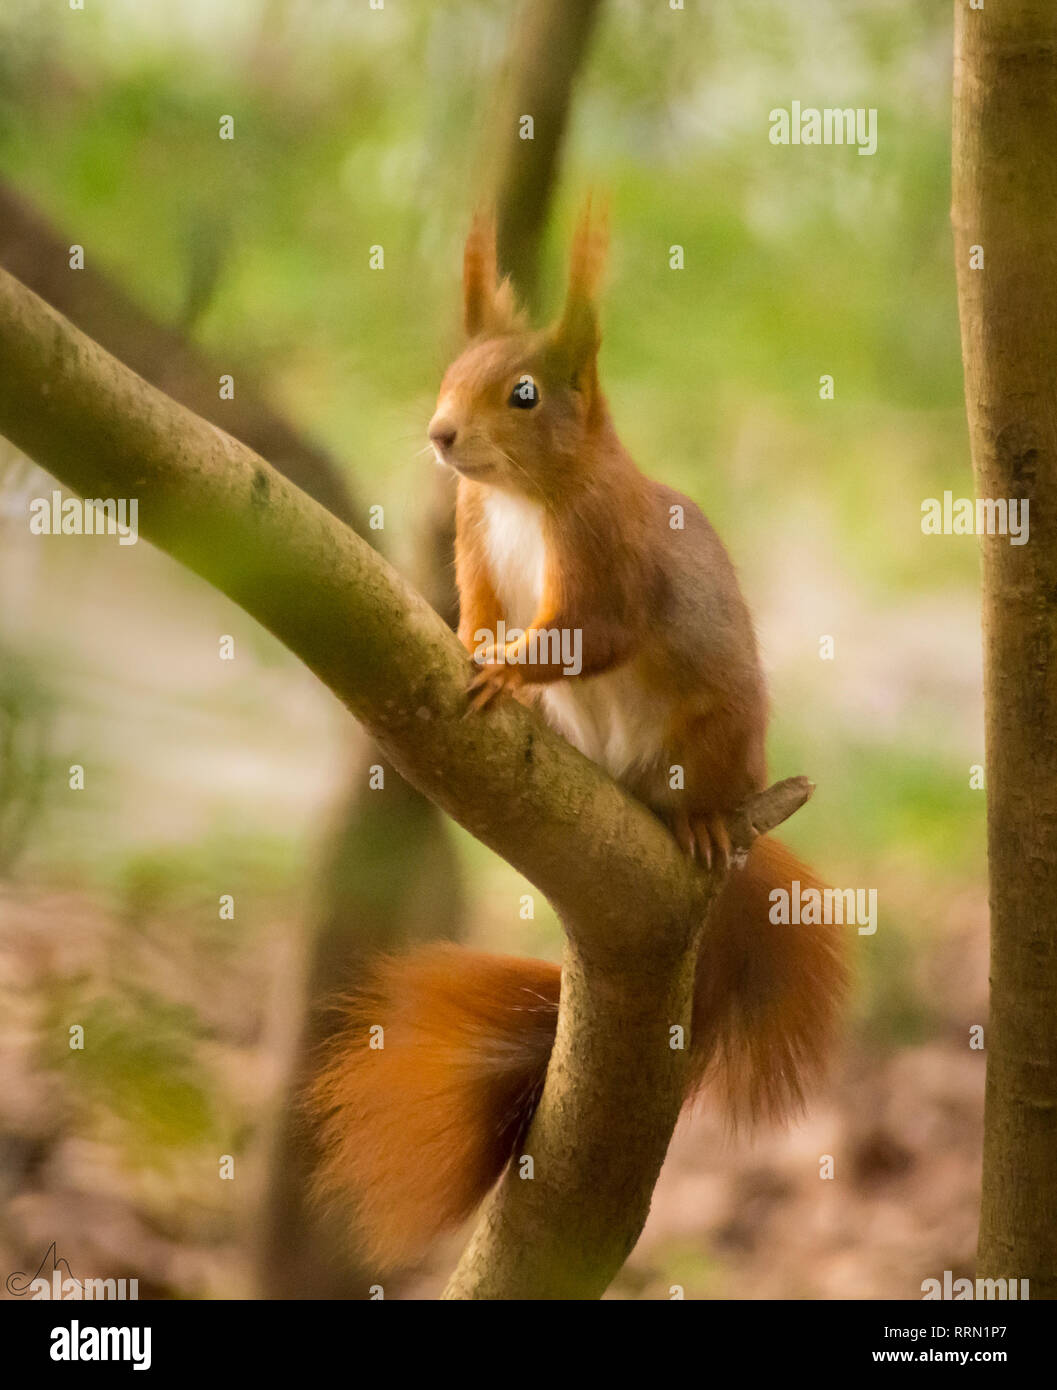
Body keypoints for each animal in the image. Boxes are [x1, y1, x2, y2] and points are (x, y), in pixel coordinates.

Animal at [309, 205, 847, 1271]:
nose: (440, 435)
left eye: (523, 395)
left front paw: (512, 671)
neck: (522, 495)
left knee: (702, 781)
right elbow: (479, 611)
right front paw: (480, 652)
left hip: (717, 736)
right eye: (449, 375)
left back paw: (700, 821)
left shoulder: (608, 556)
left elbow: (598, 633)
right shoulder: (473, 538)